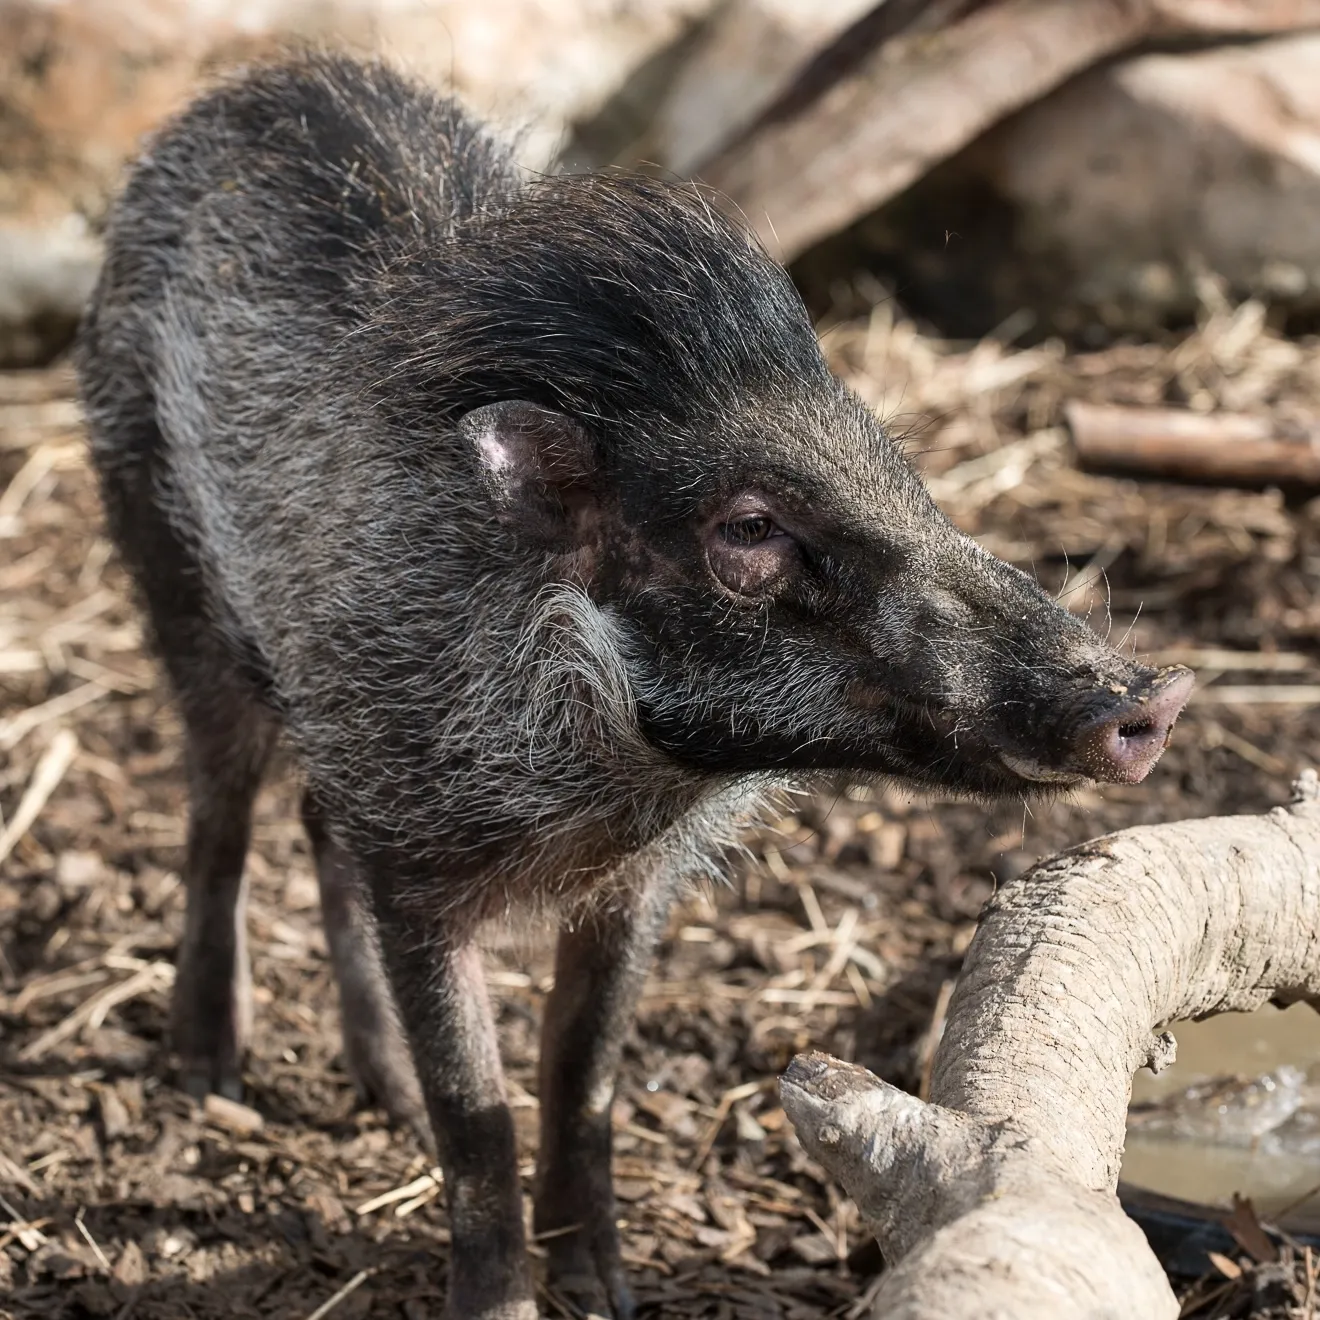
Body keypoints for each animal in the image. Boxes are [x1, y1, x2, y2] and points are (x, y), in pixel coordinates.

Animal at [74, 54, 1193, 1320]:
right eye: (748, 528)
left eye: (898, 477)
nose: (1156, 695)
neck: (603, 790)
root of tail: (243, 90)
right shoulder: (417, 868)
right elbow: (477, 1113)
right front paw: (502, 1305)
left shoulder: (632, 884)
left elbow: (580, 1070)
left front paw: (603, 1289)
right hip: (169, 565)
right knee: (218, 812)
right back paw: (209, 1069)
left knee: (313, 824)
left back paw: (376, 1090)